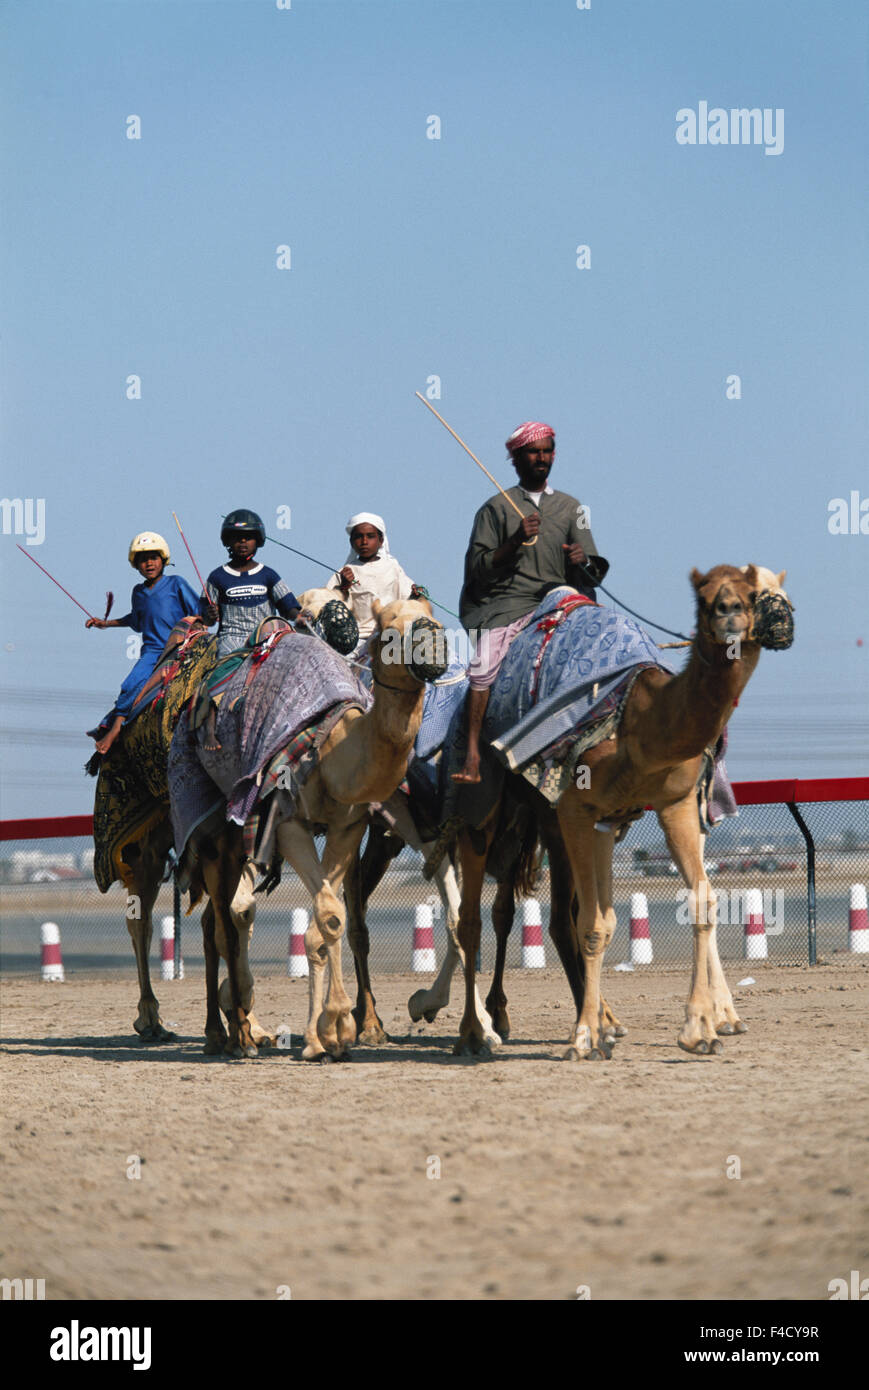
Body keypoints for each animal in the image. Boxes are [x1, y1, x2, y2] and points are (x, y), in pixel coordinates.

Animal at [186, 596, 449, 1059]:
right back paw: (233, 1032)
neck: (331, 750)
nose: (432, 639)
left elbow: (331, 921)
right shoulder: (289, 821)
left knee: (230, 915)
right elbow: (326, 917)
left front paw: (334, 1032)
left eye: (429, 614)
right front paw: (327, 1032)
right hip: (218, 830)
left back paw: (241, 1026)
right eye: (388, 626)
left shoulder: (349, 824)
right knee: (225, 920)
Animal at [451, 564, 794, 1059]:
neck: (637, 718)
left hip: (544, 822)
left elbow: (699, 901)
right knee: (475, 920)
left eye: (763, 593)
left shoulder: (661, 807)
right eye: (705, 597)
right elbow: (593, 924)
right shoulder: (578, 808)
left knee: (538, 916)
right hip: (488, 814)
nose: (732, 615)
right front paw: (583, 1038)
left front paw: (701, 1028)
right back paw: (474, 1034)